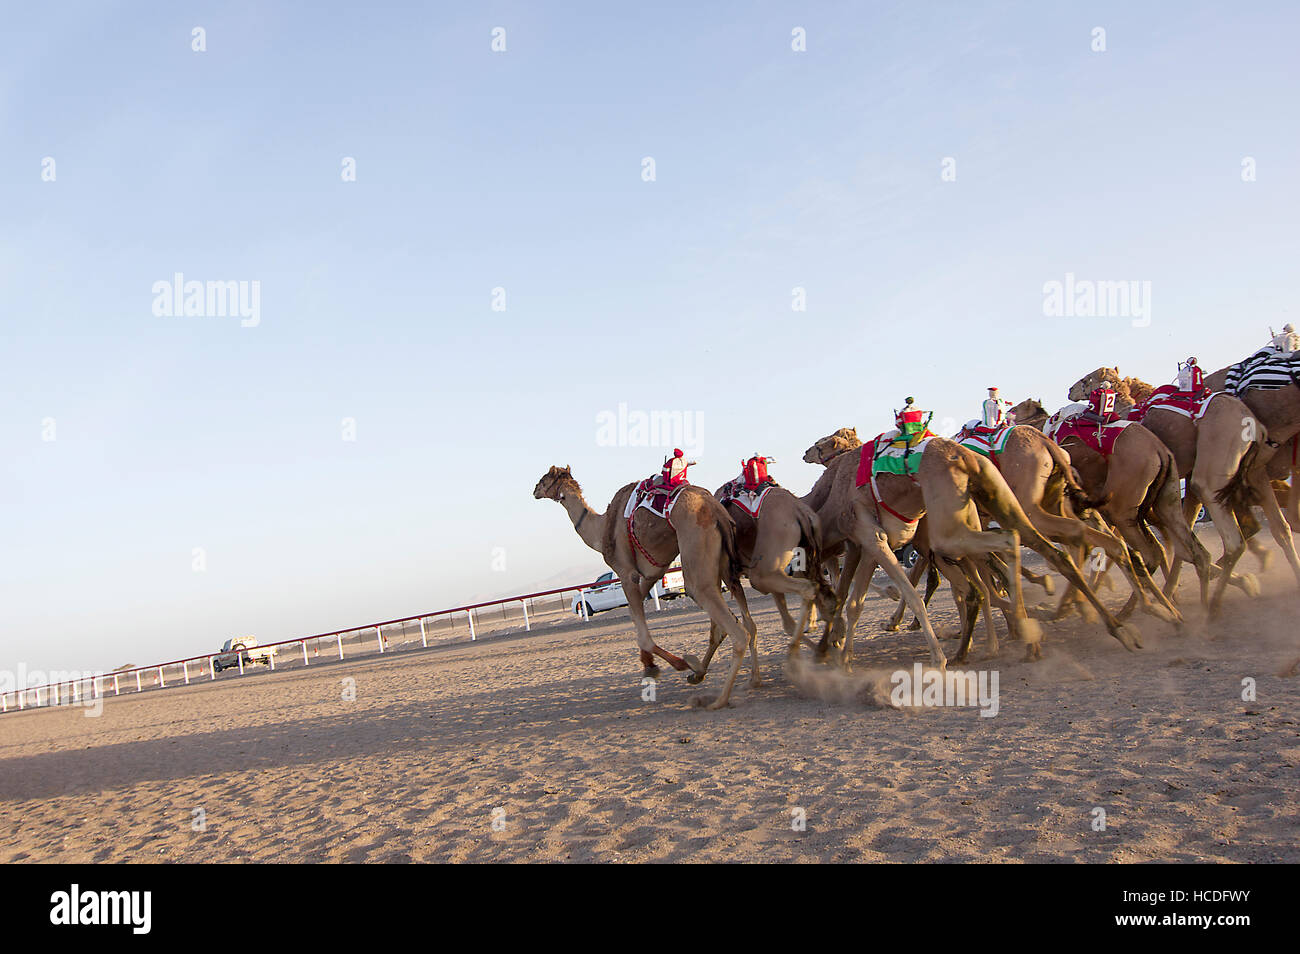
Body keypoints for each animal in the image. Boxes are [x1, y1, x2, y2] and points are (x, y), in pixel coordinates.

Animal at [532, 465, 757, 709]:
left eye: (544, 479)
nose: (534, 490)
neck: (602, 529)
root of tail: (714, 508)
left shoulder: (626, 572)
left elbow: (643, 634)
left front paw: (682, 664)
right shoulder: (652, 573)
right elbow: (635, 615)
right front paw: (650, 665)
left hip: (696, 554)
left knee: (733, 627)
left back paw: (717, 699)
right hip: (724, 564)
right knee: (741, 622)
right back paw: (742, 680)